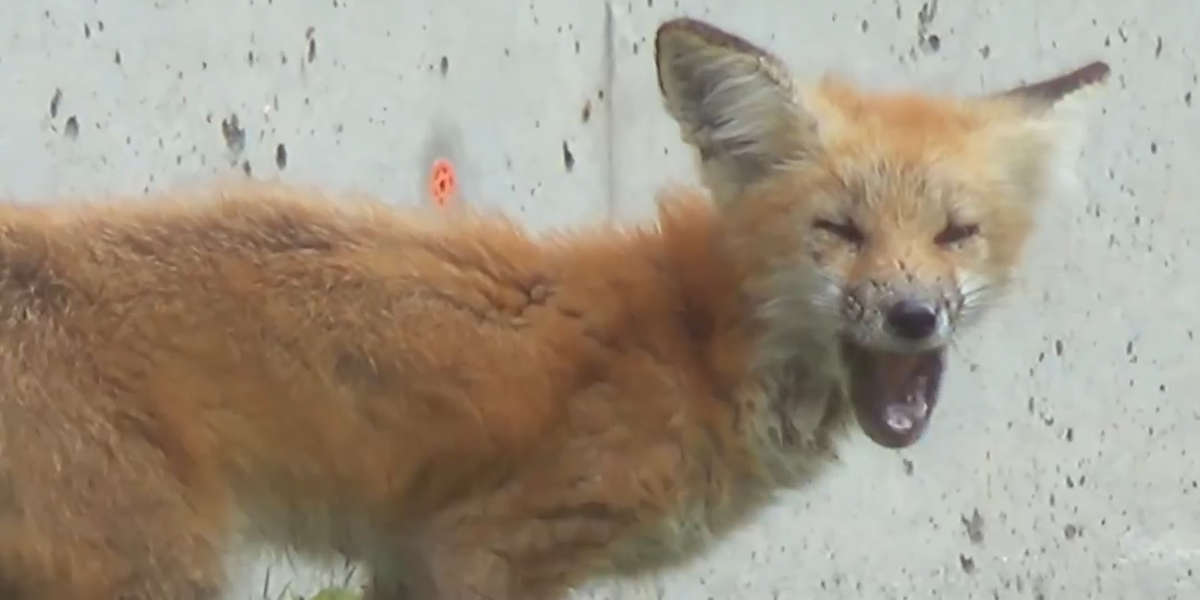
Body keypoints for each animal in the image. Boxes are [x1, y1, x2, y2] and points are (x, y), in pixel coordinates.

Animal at [0, 17, 1106, 600]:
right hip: (148, 572)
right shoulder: (478, 550)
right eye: (837, 230)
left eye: (957, 234)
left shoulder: (412, 560)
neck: (697, 343)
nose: (915, 316)